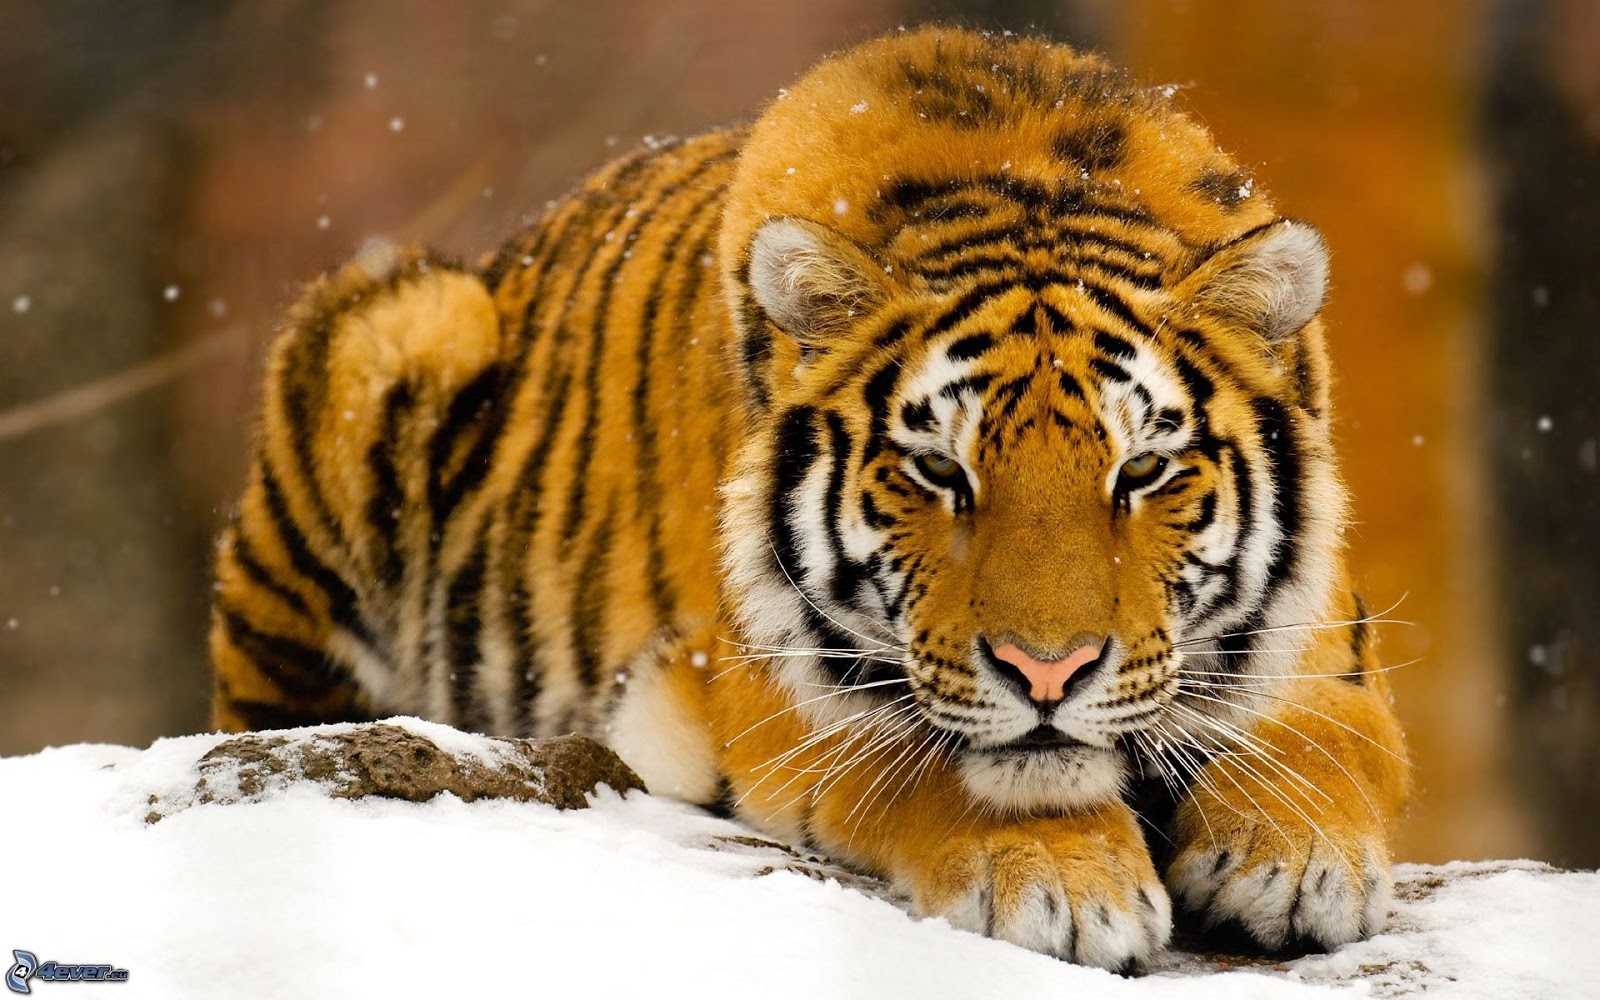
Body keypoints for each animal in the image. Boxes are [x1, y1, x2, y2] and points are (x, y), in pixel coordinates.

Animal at [210, 26, 1410, 969]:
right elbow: (934, 759)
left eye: (1142, 471)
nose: (1047, 673)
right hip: (396, 332)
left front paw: (1296, 860)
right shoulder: (764, 683)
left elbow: (1326, 738)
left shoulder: (1325, 642)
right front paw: (1062, 881)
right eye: (939, 471)